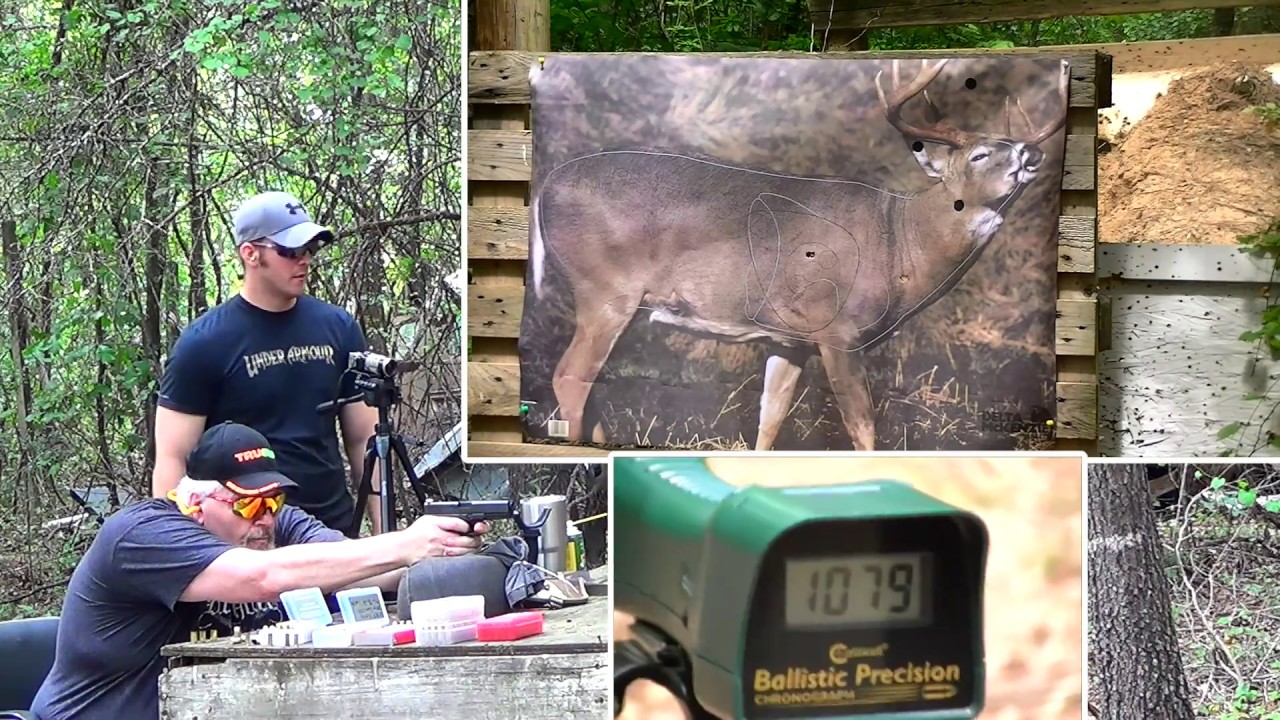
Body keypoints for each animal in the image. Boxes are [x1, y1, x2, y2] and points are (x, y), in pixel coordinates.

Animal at [525, 58, 1069, 451]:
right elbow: (862, 426)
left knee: (589, 384)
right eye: (979, 154)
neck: (900, 246)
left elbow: (770, 418)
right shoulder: (838, 327)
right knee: (569, 377)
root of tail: (544, 187)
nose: (1031, 154)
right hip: (604, 289)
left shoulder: (790, 337)